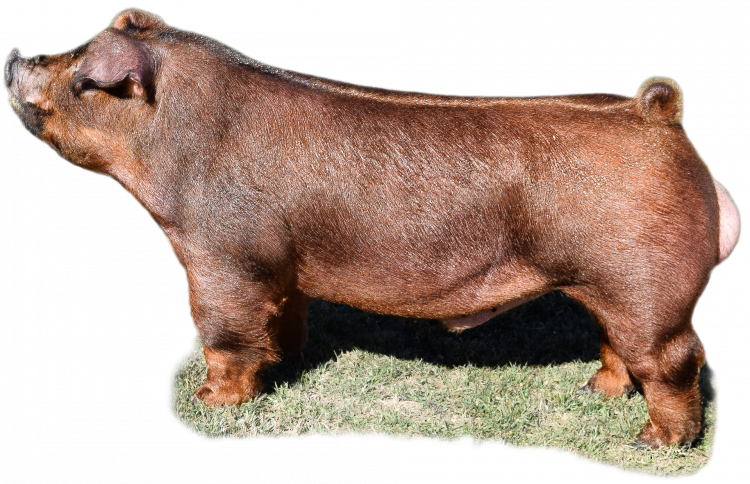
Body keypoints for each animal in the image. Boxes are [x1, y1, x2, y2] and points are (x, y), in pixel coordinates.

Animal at [4, 8, 741, 449]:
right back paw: (595, 390)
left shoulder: (221, 255)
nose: (17, 56)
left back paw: (655, 442)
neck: (172, 139)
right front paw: (285, 362)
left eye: (80, 72)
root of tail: (657, 116)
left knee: (675, 359)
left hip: (647, 284)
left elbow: (225, 333)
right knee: (618, 345)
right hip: (609, 285)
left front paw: (213, 406)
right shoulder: (281, 267)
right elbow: (283, 318)